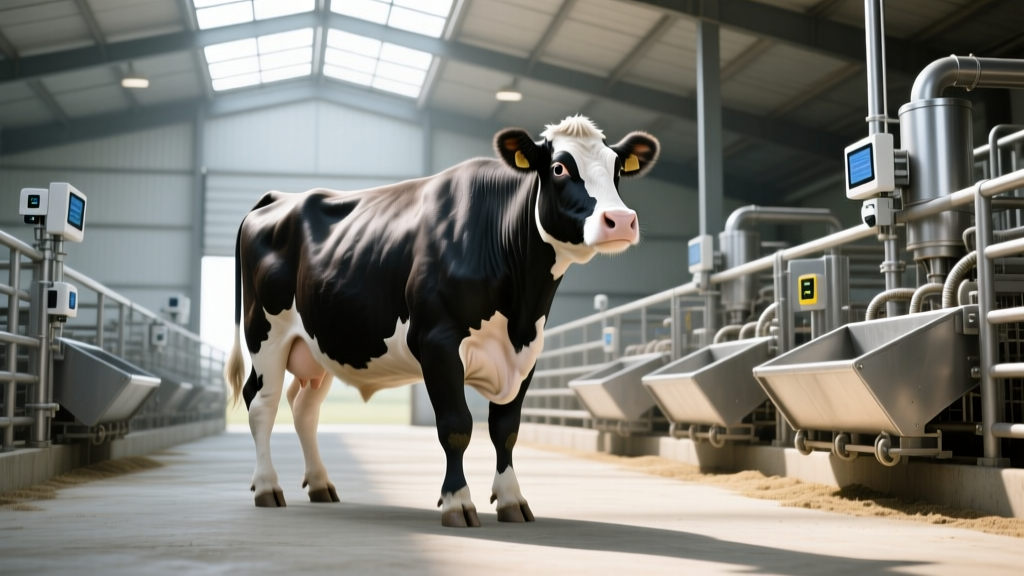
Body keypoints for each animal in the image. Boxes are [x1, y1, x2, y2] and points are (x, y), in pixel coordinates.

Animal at [224, 115, 659, 527]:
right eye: (559, 168)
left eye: (617, 169)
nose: (620, 219)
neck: (519, 306)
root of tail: (279, 198)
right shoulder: (437, 342)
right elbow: (456, 426)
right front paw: (457, 502)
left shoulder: (527, 351)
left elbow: (506, 429)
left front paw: (512, 500)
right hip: (265, 334)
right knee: (261, 403)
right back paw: (268, 487)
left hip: (319, 346)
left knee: (304, 408)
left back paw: (320, 485)